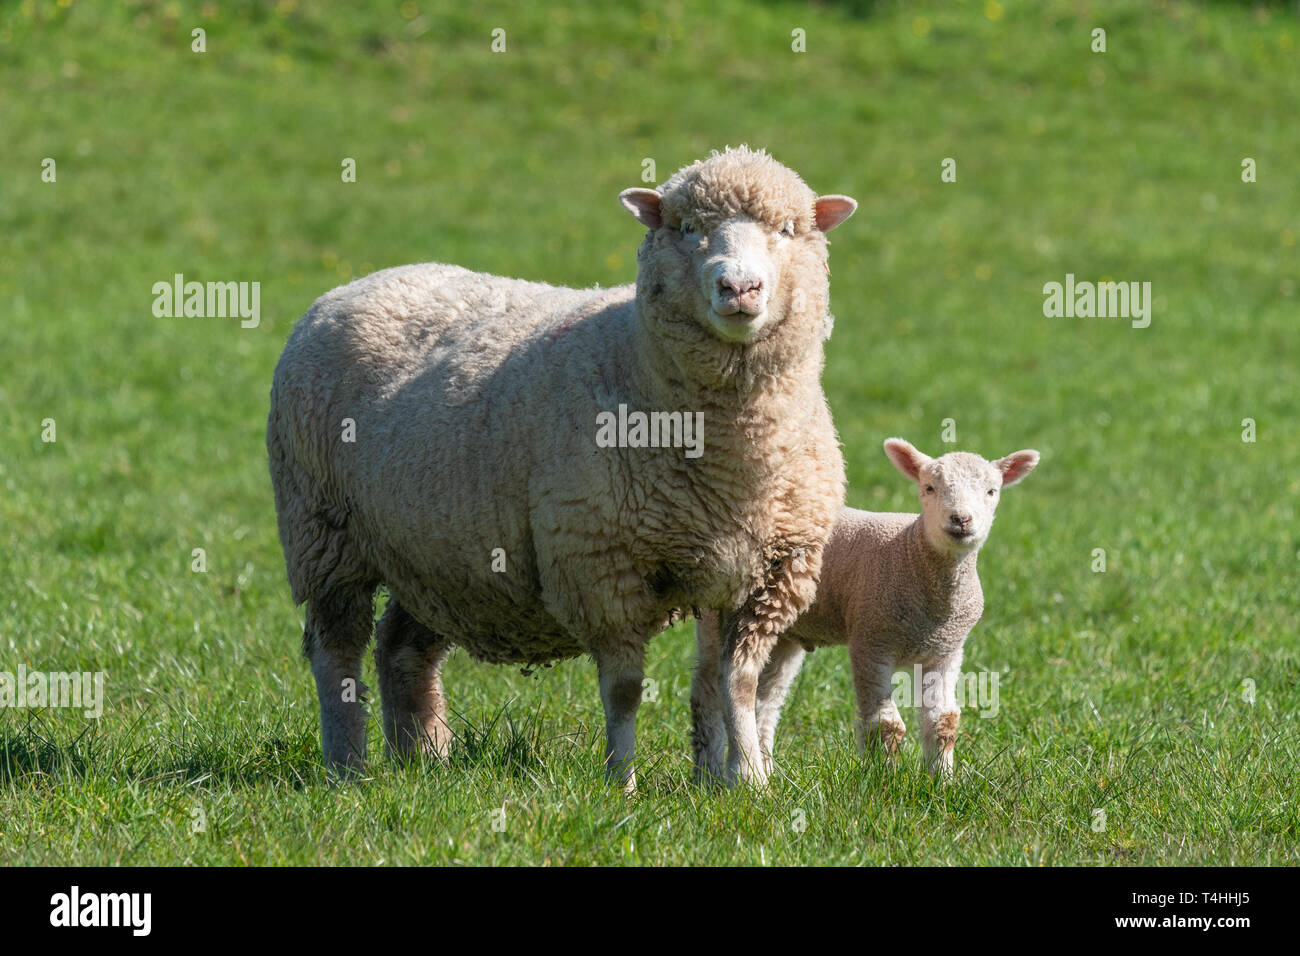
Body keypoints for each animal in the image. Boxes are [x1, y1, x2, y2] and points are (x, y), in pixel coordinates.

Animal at [266, 146, 857, 787]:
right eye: (686, 229)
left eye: (788, 230)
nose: (739, 286)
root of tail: (357, 284)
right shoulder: (601, 563)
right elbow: (625, 690)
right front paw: (621, 781)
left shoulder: (770, 572)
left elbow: (738, 684)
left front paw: (748, 781)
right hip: (322, 532)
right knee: (337, 655)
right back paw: (347, 766)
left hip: (439, 555)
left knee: (400, 646)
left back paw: (421, 758)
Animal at [693, 438, 1039, 781]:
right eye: (929, 488)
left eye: (991, 491)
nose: (961, 519)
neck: (911, 555)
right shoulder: (871, 642)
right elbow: (886, 725)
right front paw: (882, 780)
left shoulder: (946, 651)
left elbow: (944, 722)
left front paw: (942, 781)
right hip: (723, 610)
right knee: (709, 688)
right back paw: (711, 775)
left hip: (784, 630)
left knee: (766, 699)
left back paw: (764, 767)